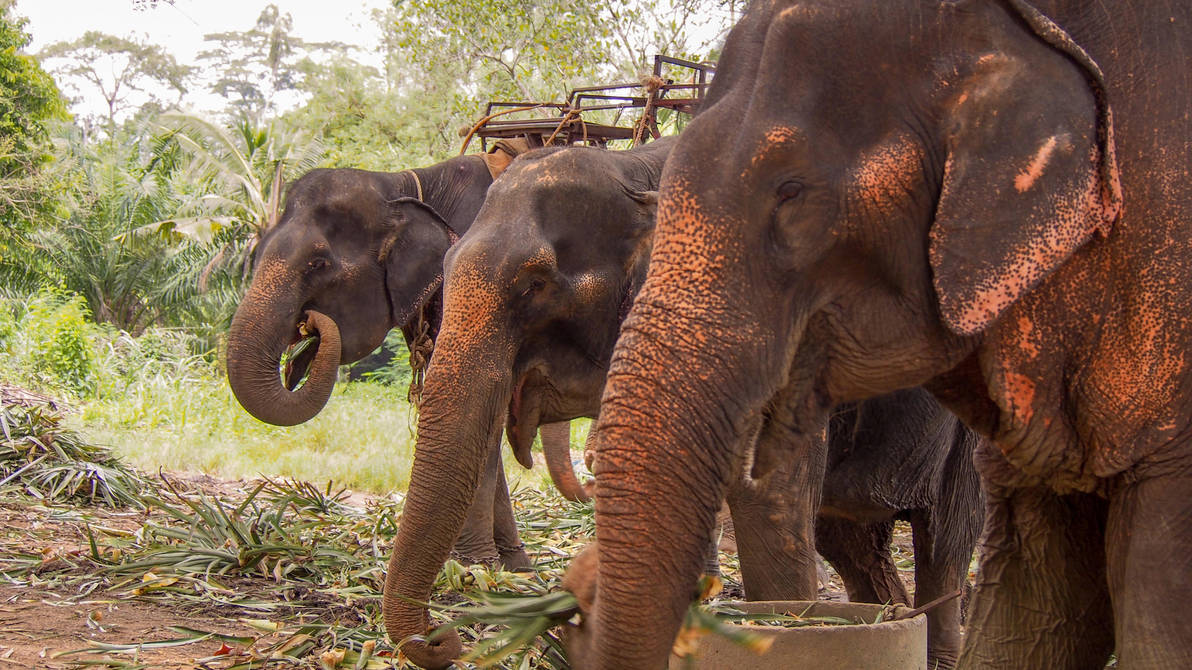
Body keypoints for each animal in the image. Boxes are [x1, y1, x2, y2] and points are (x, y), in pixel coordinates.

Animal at [381, 134, 985, 669]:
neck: (634, 168)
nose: (445, 640)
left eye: (536, 283)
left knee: (946, 538)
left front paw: (781, 623)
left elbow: (770, 495)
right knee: (852, 541)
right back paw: (888, 614)